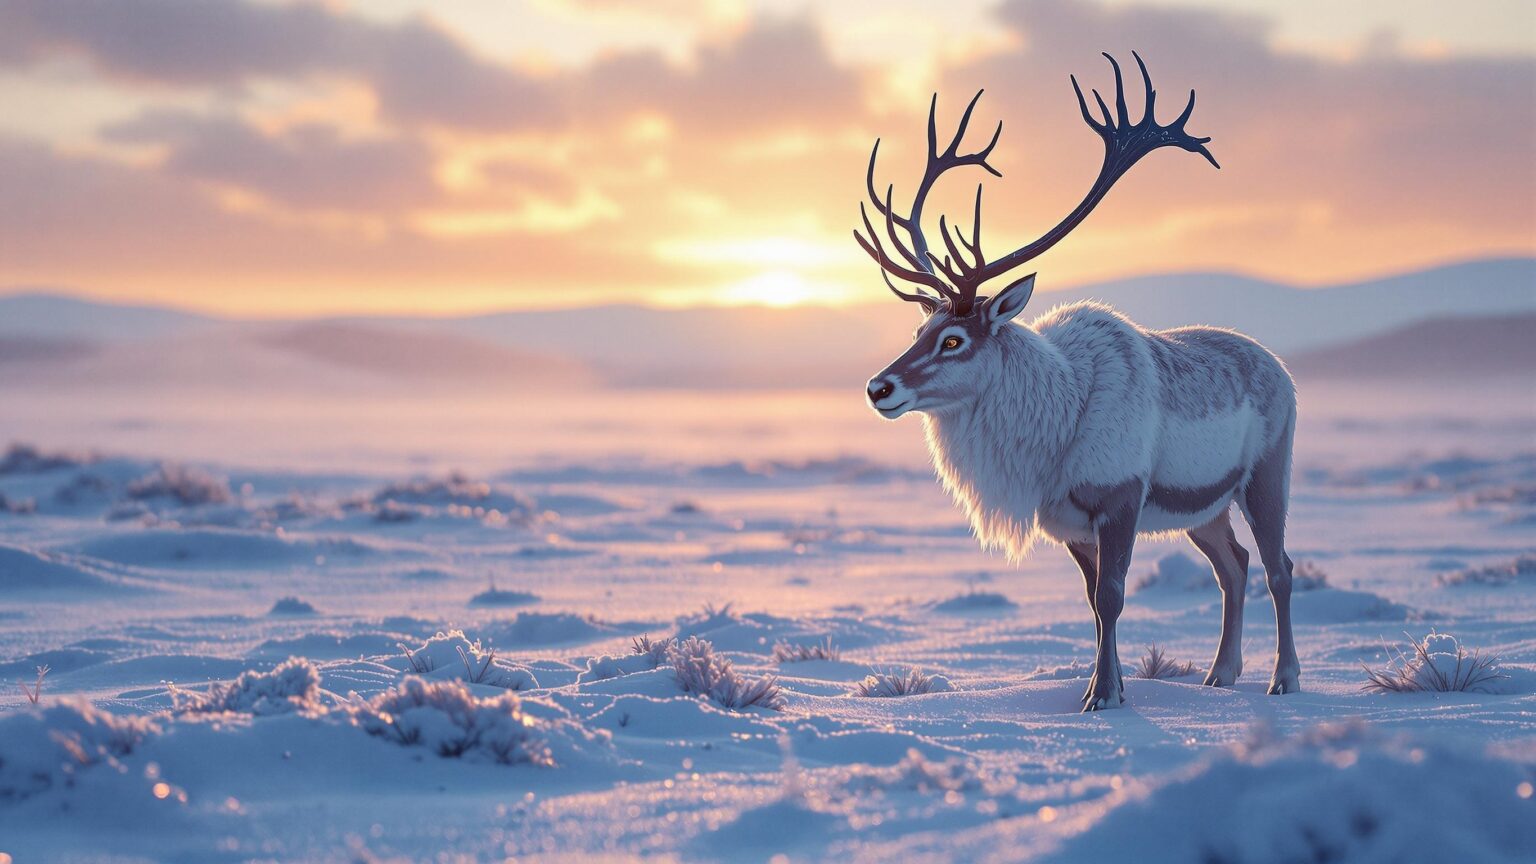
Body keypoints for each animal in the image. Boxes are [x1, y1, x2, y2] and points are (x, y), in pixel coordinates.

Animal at [856, 53, 1300, 711]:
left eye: (953, 339)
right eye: (921, 326)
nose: (879, 388)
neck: (1054, 422)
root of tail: (1282, 369)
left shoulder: (1120, 498)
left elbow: (1113, 598)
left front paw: (1104, 696)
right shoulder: (1067, 520)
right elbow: (1093, 604)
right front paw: (1103, 688)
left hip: (1267, 474)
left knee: (1279, 566)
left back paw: (1284, 678)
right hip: (1204, 506)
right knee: (1233, 564)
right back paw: (1221, 672)